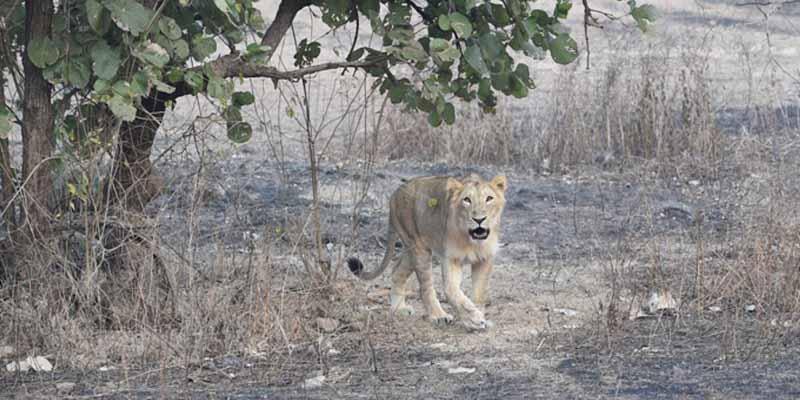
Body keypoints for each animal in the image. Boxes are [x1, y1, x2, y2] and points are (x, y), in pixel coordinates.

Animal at [348, 174, 507, 330]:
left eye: (489, 198)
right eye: (467, 200)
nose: (479, 219)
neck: (473, 241)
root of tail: (395, 194)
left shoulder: (485, 259)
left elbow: (480, 293)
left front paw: (480, 317)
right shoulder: (451, 258)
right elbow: (452, 291)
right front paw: (474, 318)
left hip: (411, 249)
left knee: (396, 271)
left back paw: (399, 308)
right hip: (419, 247)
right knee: (425, 287)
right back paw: (438, 316)